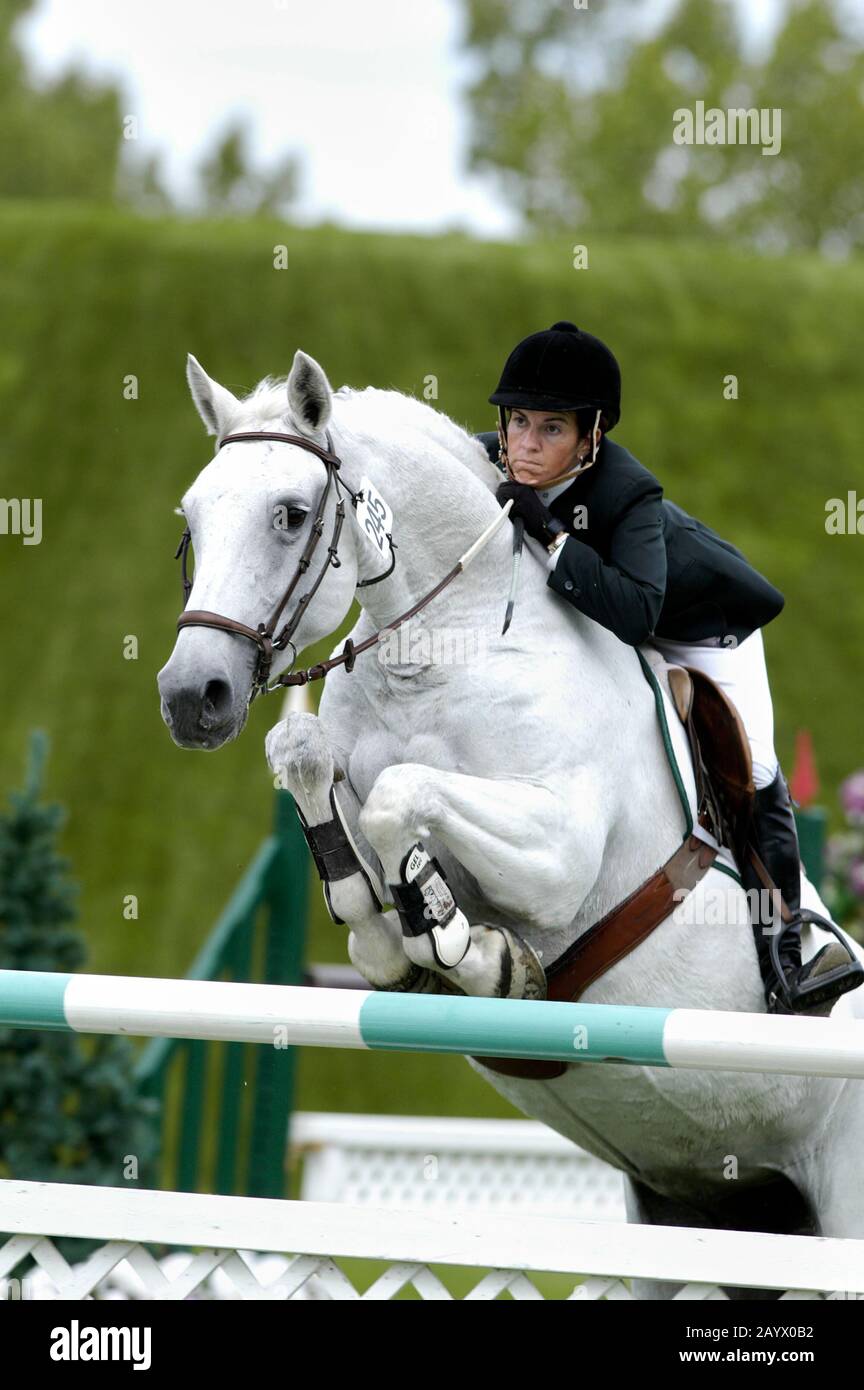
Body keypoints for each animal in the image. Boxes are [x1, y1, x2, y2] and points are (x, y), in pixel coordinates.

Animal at [157, 349, 864, 1298]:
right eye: (194, 516)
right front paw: (396, 931)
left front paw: (473, 949)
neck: (443, 650)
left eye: (291, 515)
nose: (191, 697)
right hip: (689, 1207)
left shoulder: (555, 854)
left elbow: (402, 799)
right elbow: (309, 763)